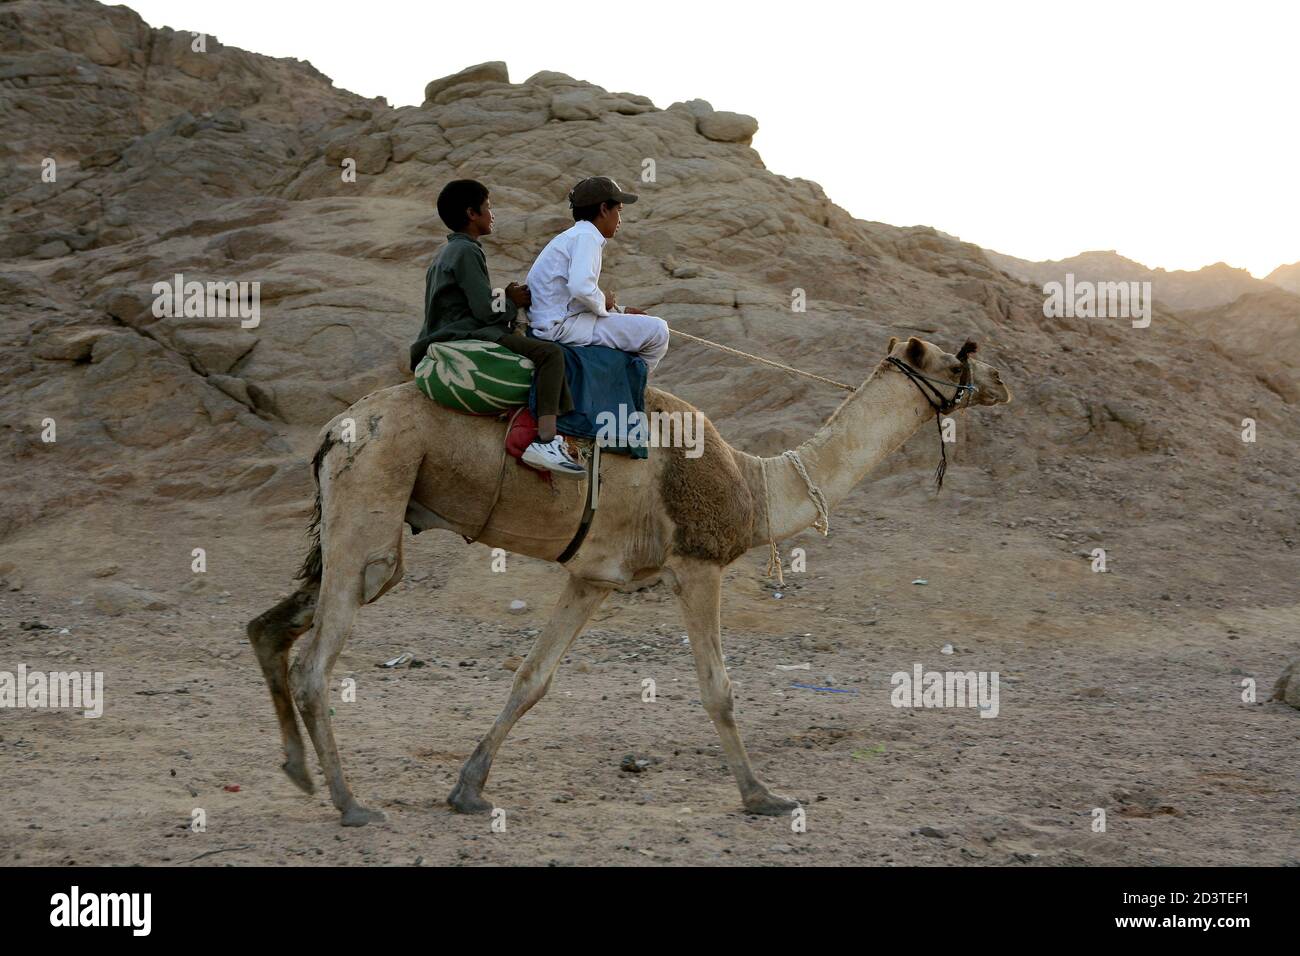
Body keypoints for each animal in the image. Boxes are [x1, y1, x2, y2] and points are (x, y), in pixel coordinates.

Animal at [247, 335, 1011, 826]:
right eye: (955, 360)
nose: (1002, 381)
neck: (756, 485)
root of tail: (337, 428)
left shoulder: (594, 576)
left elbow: (532, 679)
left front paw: (468, 791)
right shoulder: (698, 565)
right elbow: (718, 690)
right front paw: (764, 797)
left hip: (361, 521)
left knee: (267, 626)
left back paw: (297, 770)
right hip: (374, 503)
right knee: (317, 660)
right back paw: (350, 804)